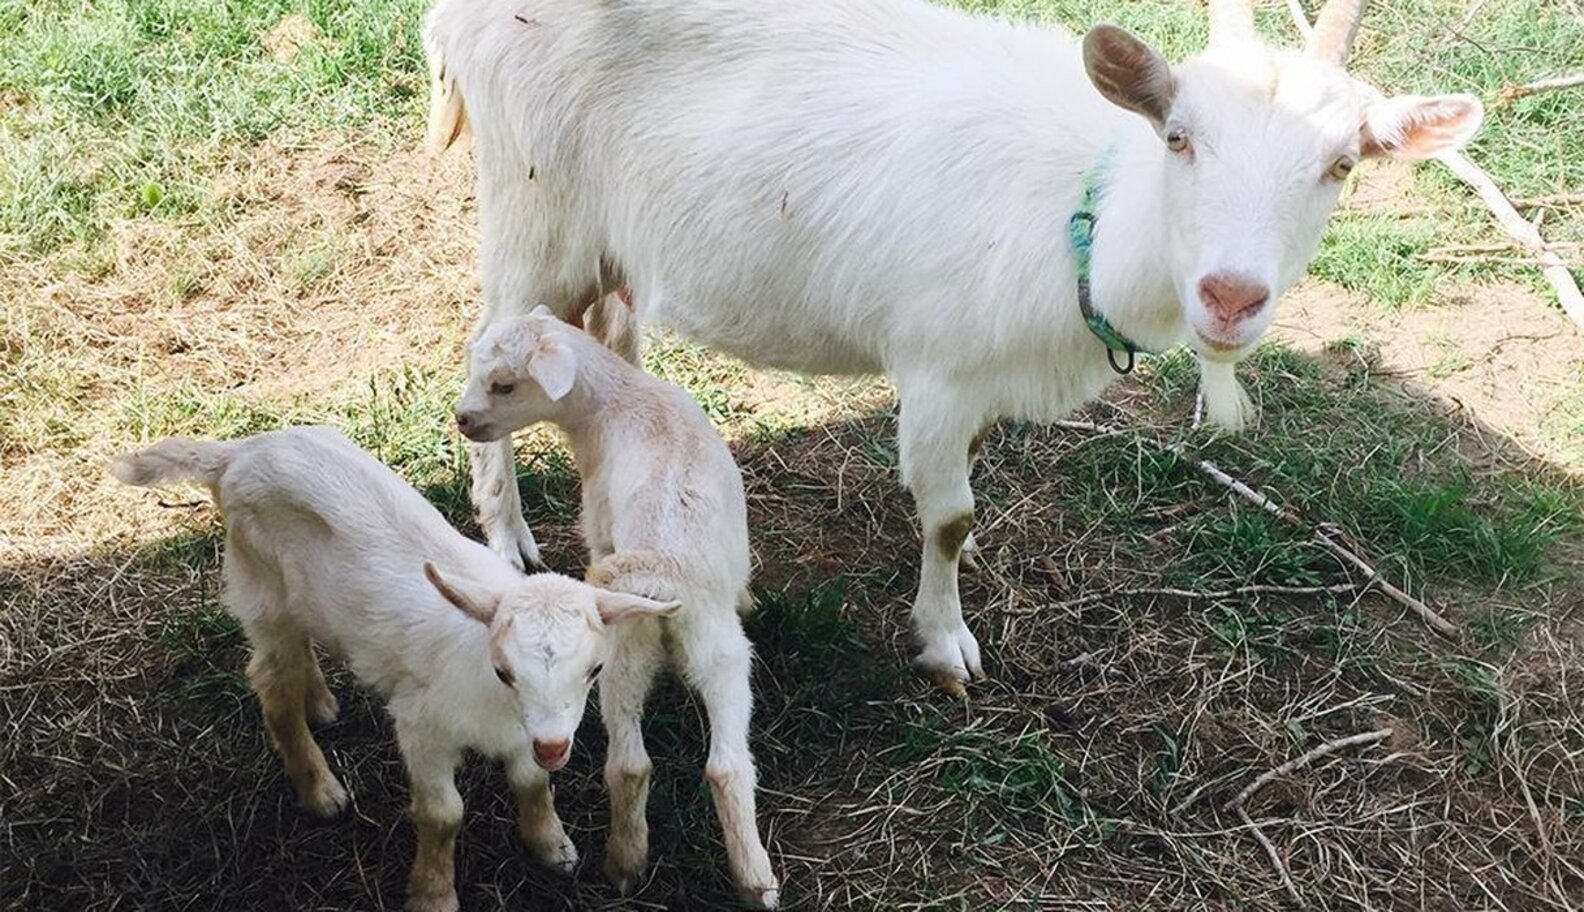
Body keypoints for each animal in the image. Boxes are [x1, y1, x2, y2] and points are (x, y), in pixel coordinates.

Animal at [113, 426, 678, 912]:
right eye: (503, 671)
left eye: (595, 669)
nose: (556, 747)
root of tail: (236, 454)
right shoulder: (420, 725)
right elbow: (443, 815)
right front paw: (432, 894)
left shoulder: (525, 732)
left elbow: (532, 782)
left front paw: (551, 846)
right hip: (261, 588)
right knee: (272, 685)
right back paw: (319, 790)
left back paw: (321, 703)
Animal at [422, 0, 1483, 692]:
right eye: (1179, 137)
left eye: (1341, 163)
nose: (1231, 296)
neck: (1084, 216)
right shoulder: (934, 370)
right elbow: (949, 519)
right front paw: (946, 646)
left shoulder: (983, 382)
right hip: (533, 208)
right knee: (493, 343)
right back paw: (507, 536)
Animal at [454, 308, 779, 908]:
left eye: (504, 384)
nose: (462, 420)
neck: (622, 399)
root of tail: (656, 573)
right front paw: (749, 599)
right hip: (703, 652)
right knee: (713, 766)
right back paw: (740, 877)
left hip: (632, 656)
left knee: (639, 764)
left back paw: (635, 865)